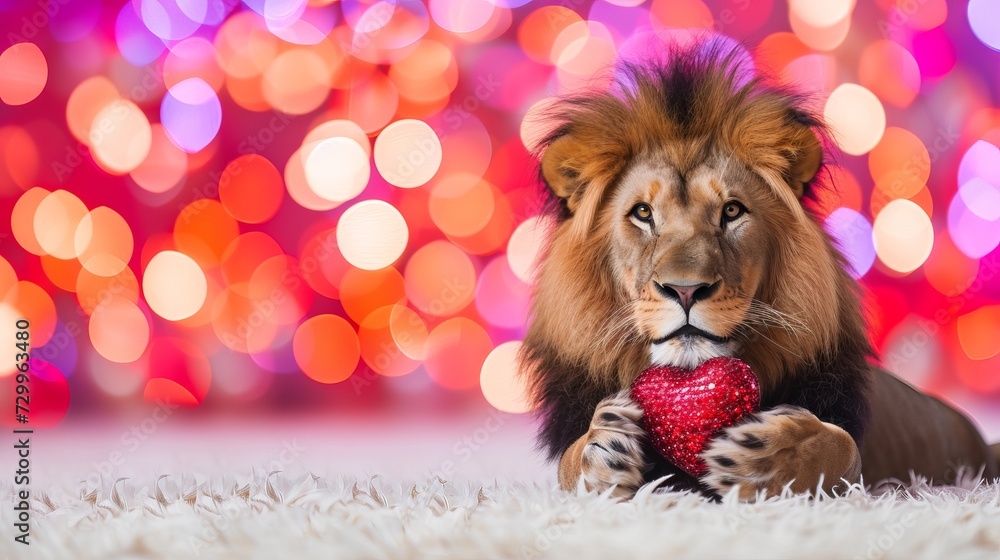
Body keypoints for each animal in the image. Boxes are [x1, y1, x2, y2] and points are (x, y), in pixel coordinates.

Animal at [520, 45, 1000, 500]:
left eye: (732, 211)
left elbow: (841, 445)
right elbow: (569, 460)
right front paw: (600, 450)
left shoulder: (853, 458)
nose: (685, 290)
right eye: (642, 213)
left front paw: (770, 458)